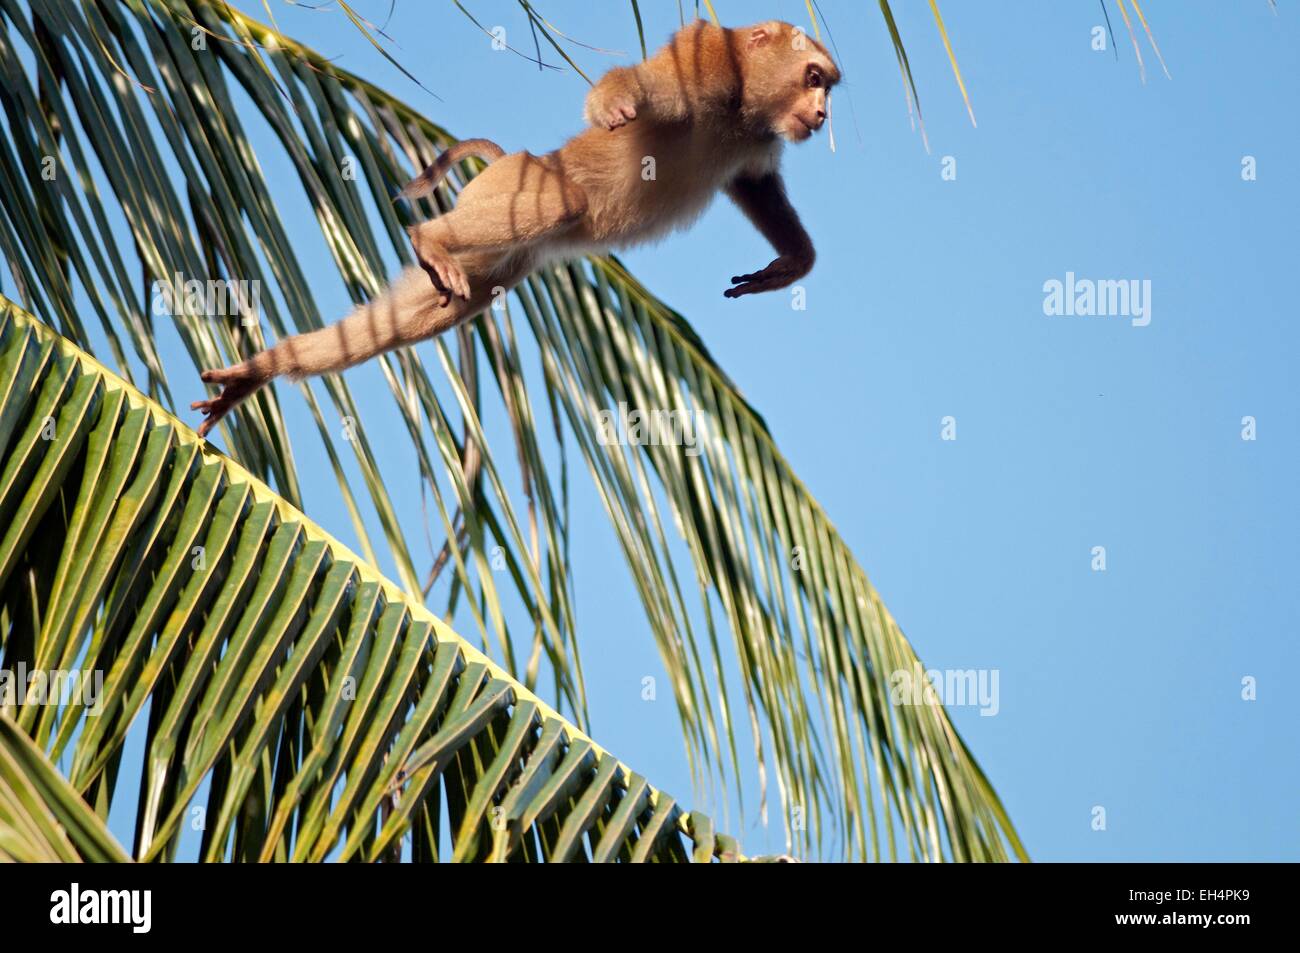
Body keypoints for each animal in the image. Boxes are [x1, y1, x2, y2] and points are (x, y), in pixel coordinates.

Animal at [193, 19, 839, 437]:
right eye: (813, 77)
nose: (821, 113)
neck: (741, 105)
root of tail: (504, 161)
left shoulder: (754, 138)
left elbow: (756, 188)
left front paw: (791, 265)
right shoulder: (703, 59)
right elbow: (641, 87)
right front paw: (613, 103)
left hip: (498, 246)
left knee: (413, 317)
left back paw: (266, 368)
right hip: (511, 185)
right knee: (564, 201)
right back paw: (429, 237)